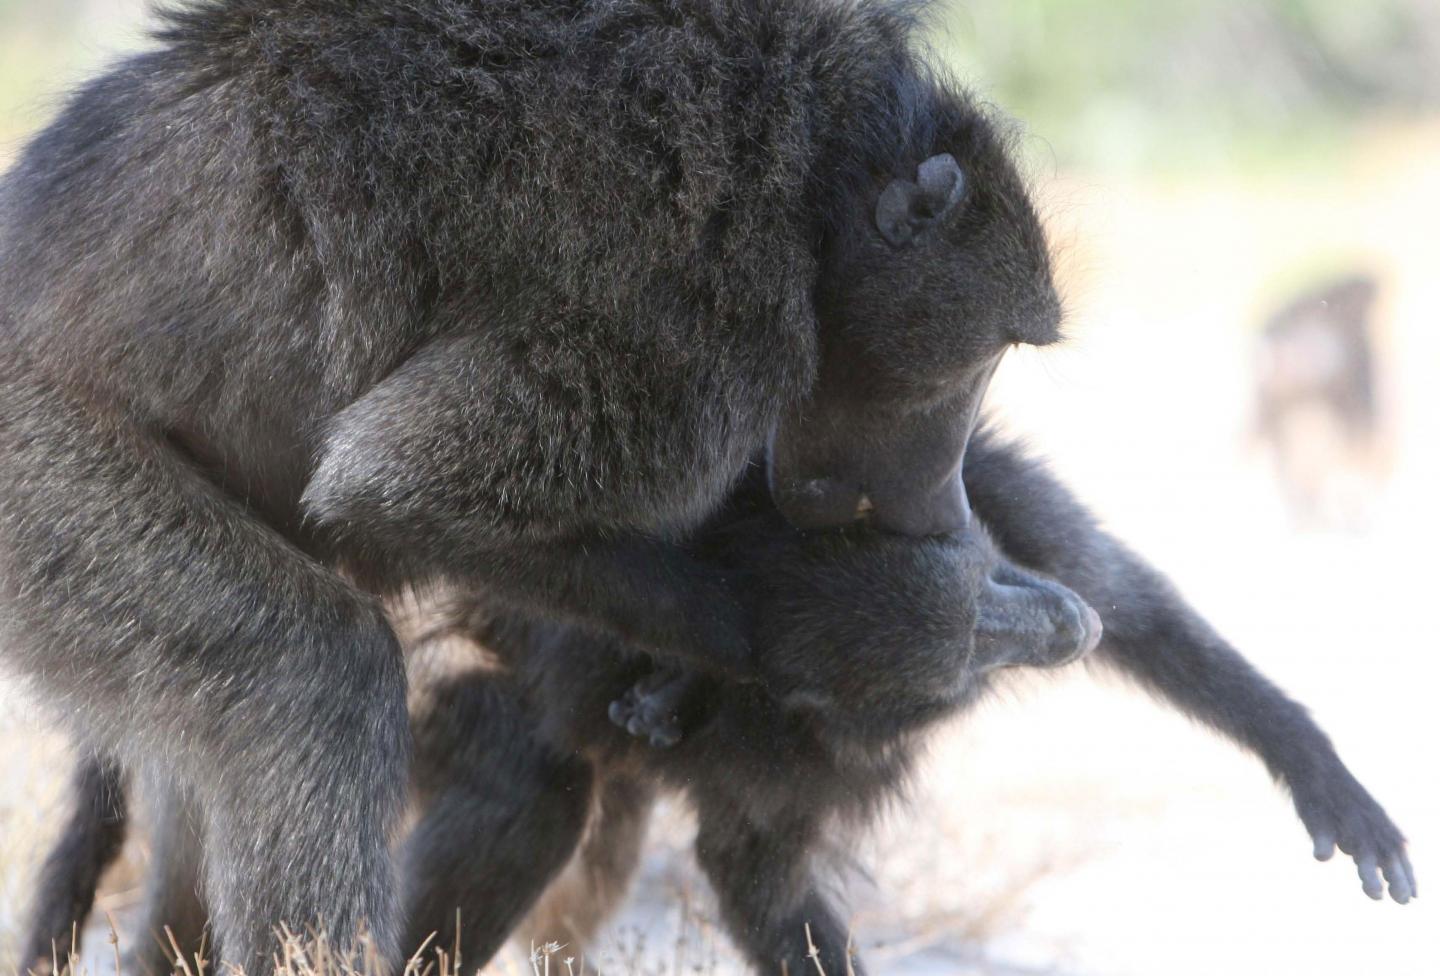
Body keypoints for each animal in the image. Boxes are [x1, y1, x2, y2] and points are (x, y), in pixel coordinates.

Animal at [0, 1, 1064, 967]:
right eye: (988, 354)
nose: (948, 507)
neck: (820, 174)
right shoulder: (693, 335)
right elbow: (390, 486)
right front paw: (784, 637)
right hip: (35, 472)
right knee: (311, 680)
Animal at [22, 434, 1415, 976]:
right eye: (960, 651)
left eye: (984, 590)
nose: (1047, 625)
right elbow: (750, 864)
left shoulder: (1004, 499)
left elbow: (1138, 606)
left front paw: (1315, 764)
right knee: (527, 782)